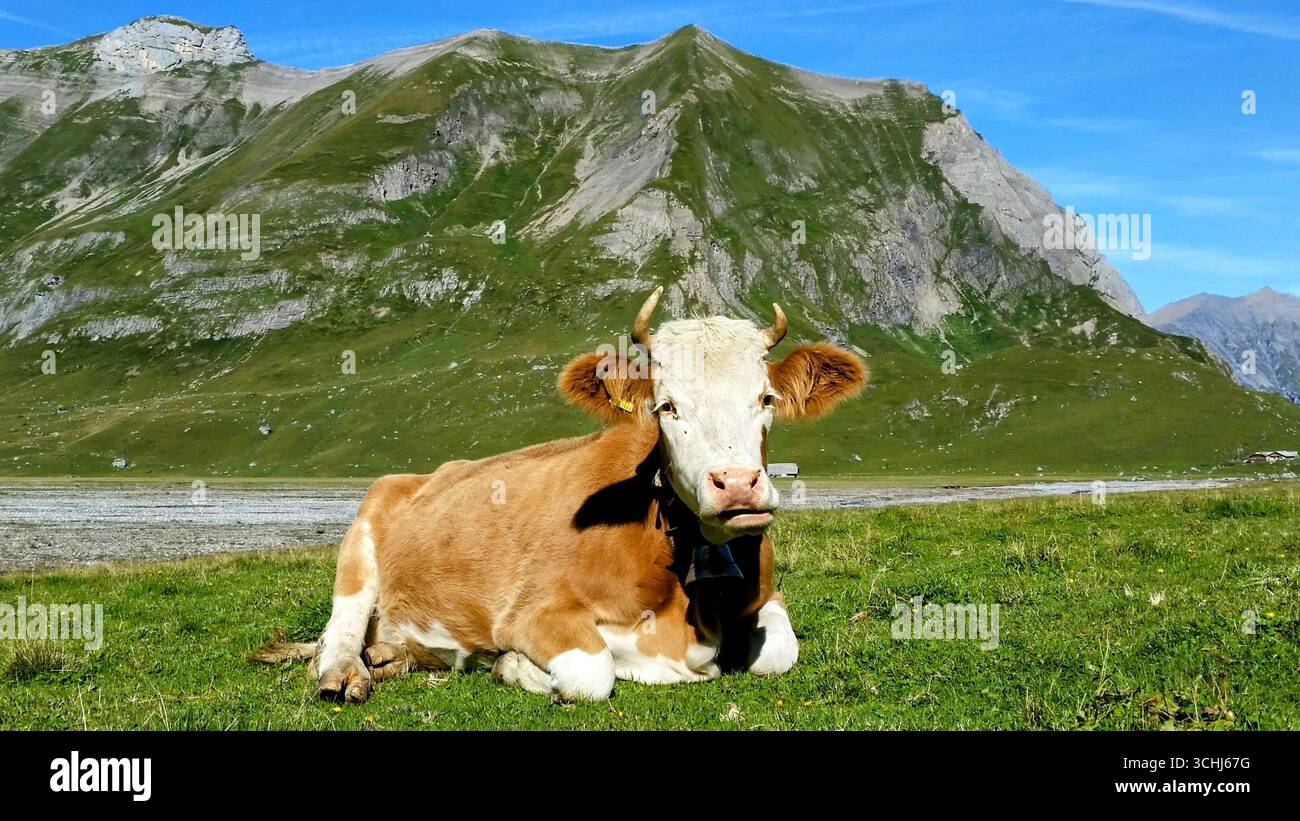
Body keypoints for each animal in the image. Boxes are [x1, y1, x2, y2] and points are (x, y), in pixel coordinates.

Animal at [252, 288, 867, 701]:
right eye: (665, 406)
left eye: (765, 399)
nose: (737, 484)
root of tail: (421, 475)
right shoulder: (533, 614)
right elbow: (591, 673)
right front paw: (508, 667)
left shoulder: (766, 598)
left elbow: (780, 652)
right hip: (360, 540)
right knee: (337, 635)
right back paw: (347, 674)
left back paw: (389, 658)